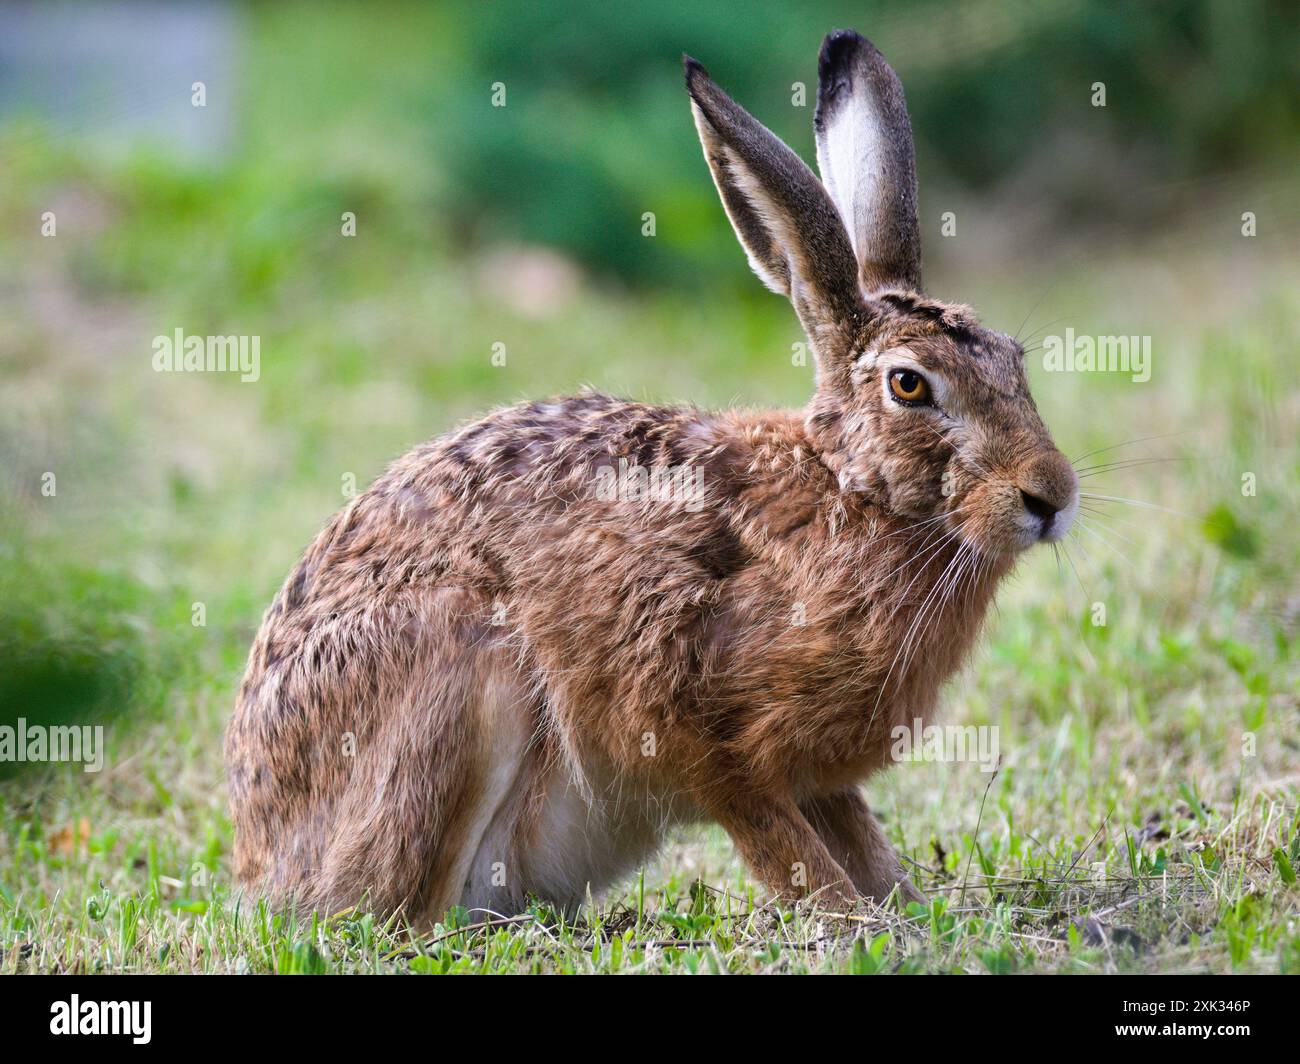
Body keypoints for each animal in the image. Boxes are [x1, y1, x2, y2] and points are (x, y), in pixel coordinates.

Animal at [225, 29, 1078, 926]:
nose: (1051, 496)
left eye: (1014, 360)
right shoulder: (699, 733)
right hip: (459, 669)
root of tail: (258, 859)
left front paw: (906, 910)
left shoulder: (813, 775)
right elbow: (786, 849)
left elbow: (858, 839)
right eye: (909, 386)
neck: (851, 492)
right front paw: (851, 926)